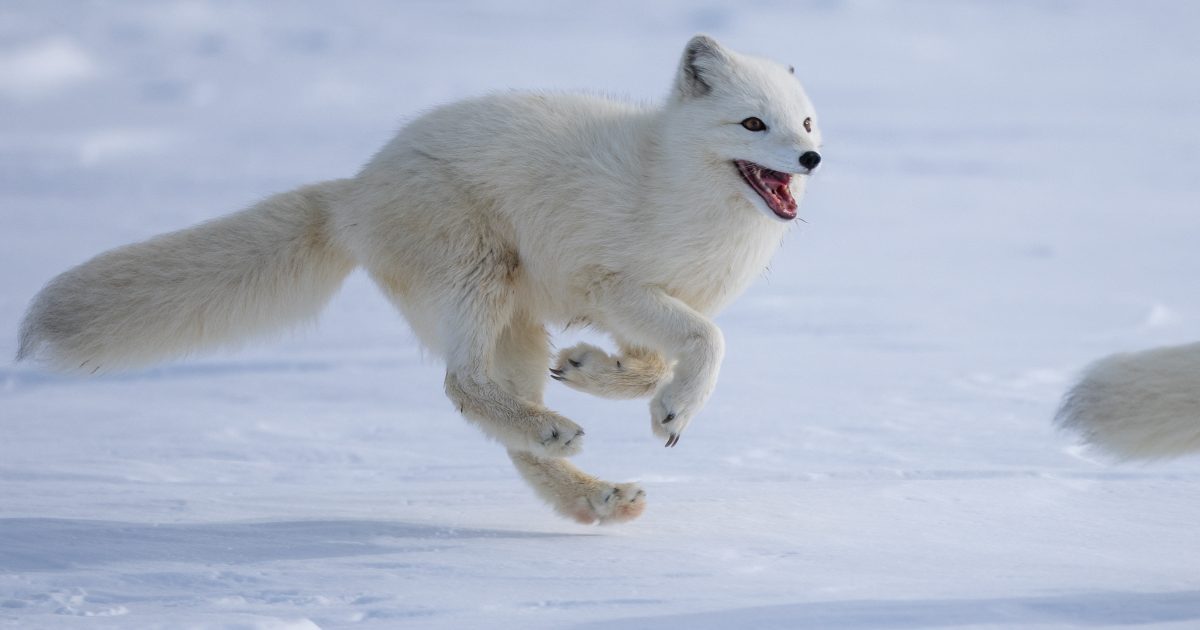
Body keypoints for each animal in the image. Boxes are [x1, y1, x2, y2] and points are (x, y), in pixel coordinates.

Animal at [16, 35, 822, 524]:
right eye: (753, 125)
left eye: (807, 123)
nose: (812, 159)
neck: (671, 183)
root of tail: (355, 189)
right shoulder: (612, 281)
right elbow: (708, 341)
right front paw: (674, 410)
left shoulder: (635, 306)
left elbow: (653, 358)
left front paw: (600, 372)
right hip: (478, 272)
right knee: (460, 386)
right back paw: (559, 436)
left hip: (515, 322)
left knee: (499, 426)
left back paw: (594, 496)